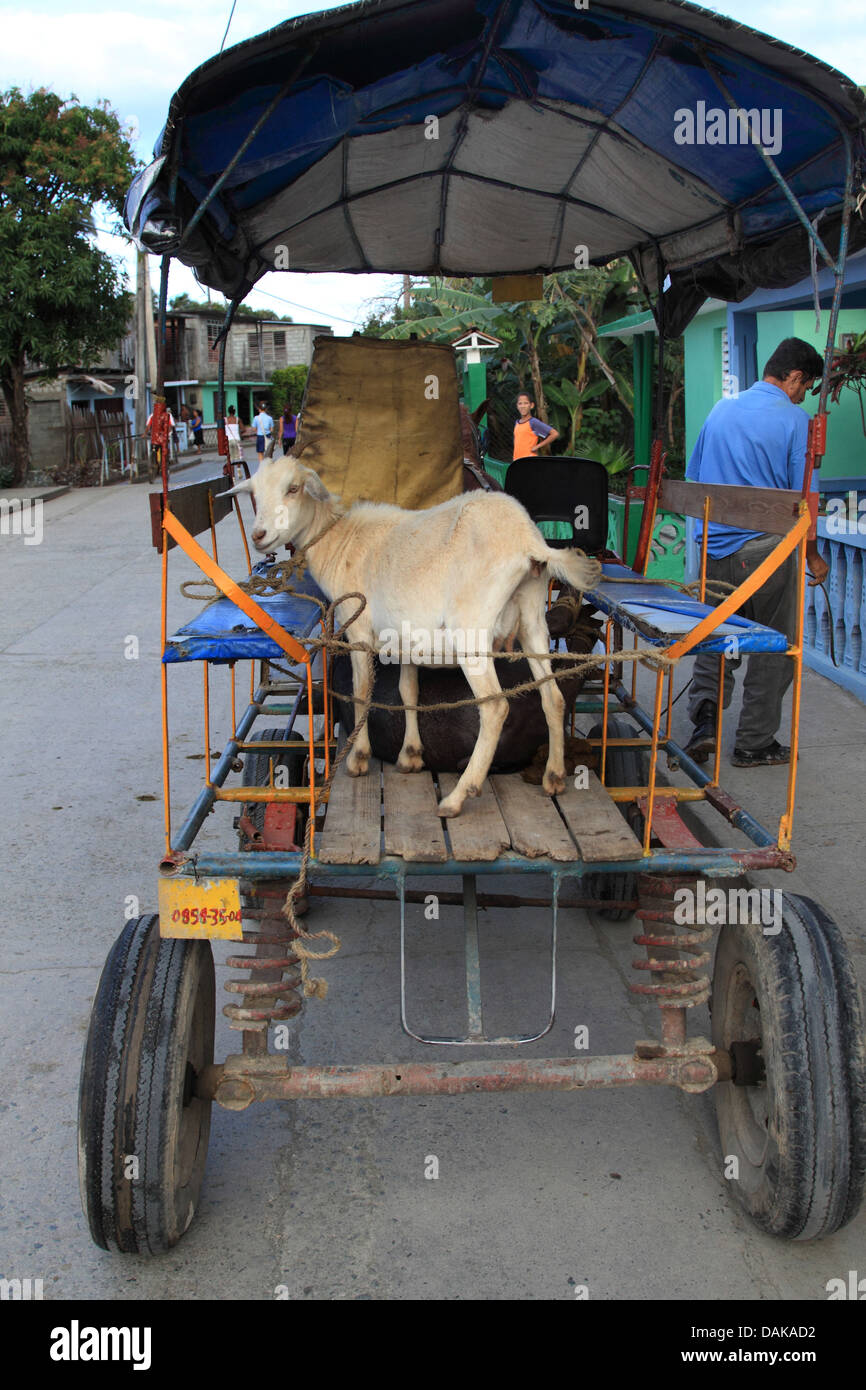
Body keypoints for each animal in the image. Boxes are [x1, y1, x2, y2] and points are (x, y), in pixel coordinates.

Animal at [226, 455, 602, 817]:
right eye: (254, 493)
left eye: (293, 489)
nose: (259, 535)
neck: (338, 540)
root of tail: (527, 541)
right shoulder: (404, 638)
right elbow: (409, 692)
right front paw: (410, 755)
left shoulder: (358, 630)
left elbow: (362, 691)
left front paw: (358, 758)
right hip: (532, 620)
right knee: (552, 697)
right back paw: (554, 776)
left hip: (472, 630)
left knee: (495, 707)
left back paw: (459, 796)